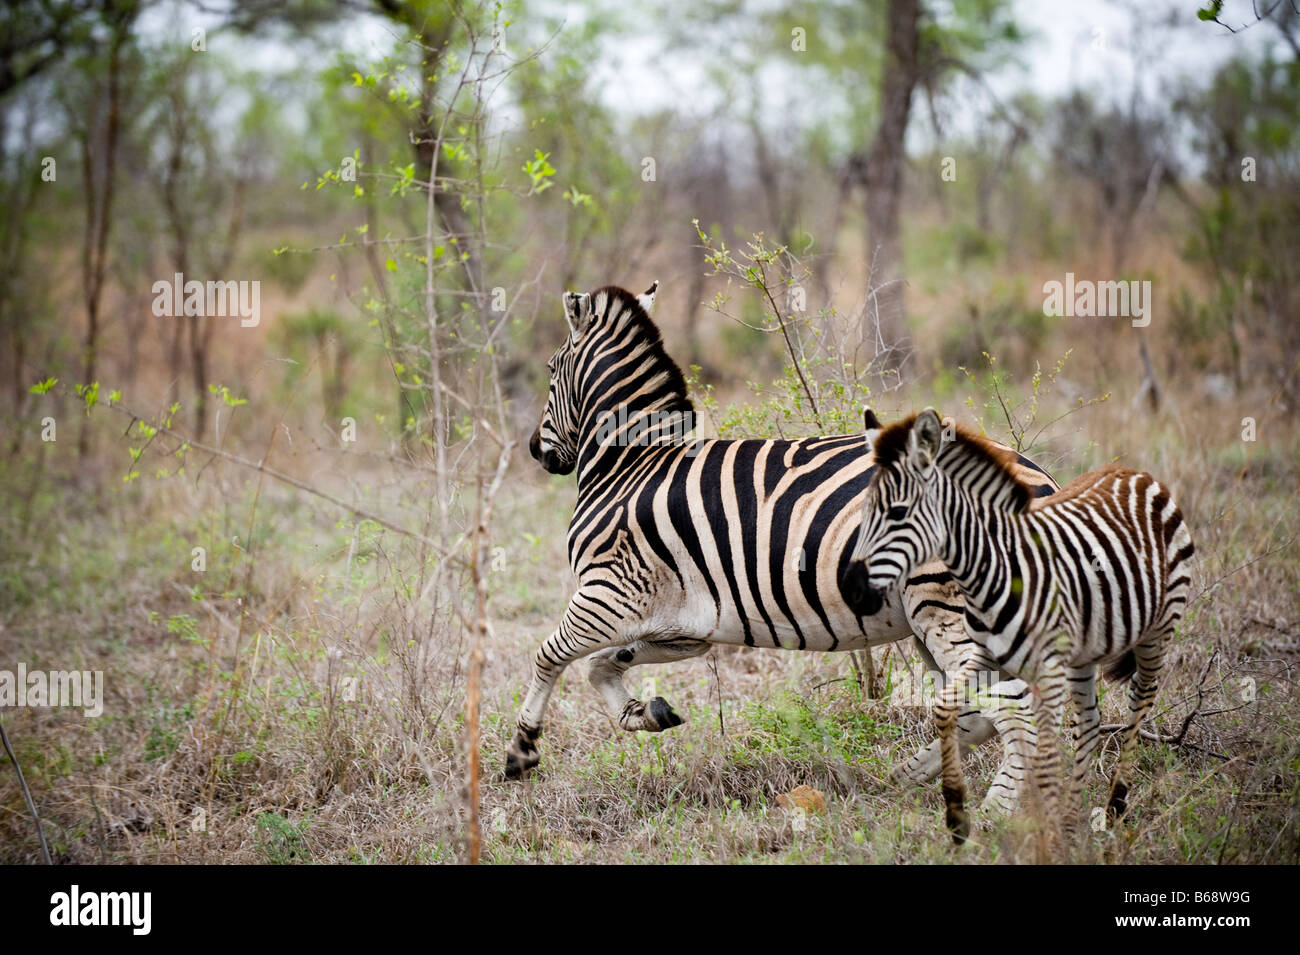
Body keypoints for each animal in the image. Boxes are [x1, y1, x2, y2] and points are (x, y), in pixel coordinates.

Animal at [507, 285, 1059, 810]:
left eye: (551, 370)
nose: (534, 451)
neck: (630, 465)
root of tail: (1037, 476)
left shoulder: (608, 592)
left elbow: (548, 655)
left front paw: (522, 752)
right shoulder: (683, 626)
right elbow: (602, 665)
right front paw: (647, 712)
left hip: (949, 610)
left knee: (1014, 709)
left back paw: (991, 816)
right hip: (943, 618)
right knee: (980, 709)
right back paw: (897, 782)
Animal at [843, 408, 1195, 843]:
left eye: (897, 513)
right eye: (863, 511)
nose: (851, 586)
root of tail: (1136, 474)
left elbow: (1031, 732)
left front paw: (1016, 820)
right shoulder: (985, 654)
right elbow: (950, 709)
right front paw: (956, 808)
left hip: (1156, 631)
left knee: (1137, 703)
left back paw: (1112, 805)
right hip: (1082, 651)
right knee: (1089, 722)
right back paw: (1071, 816)